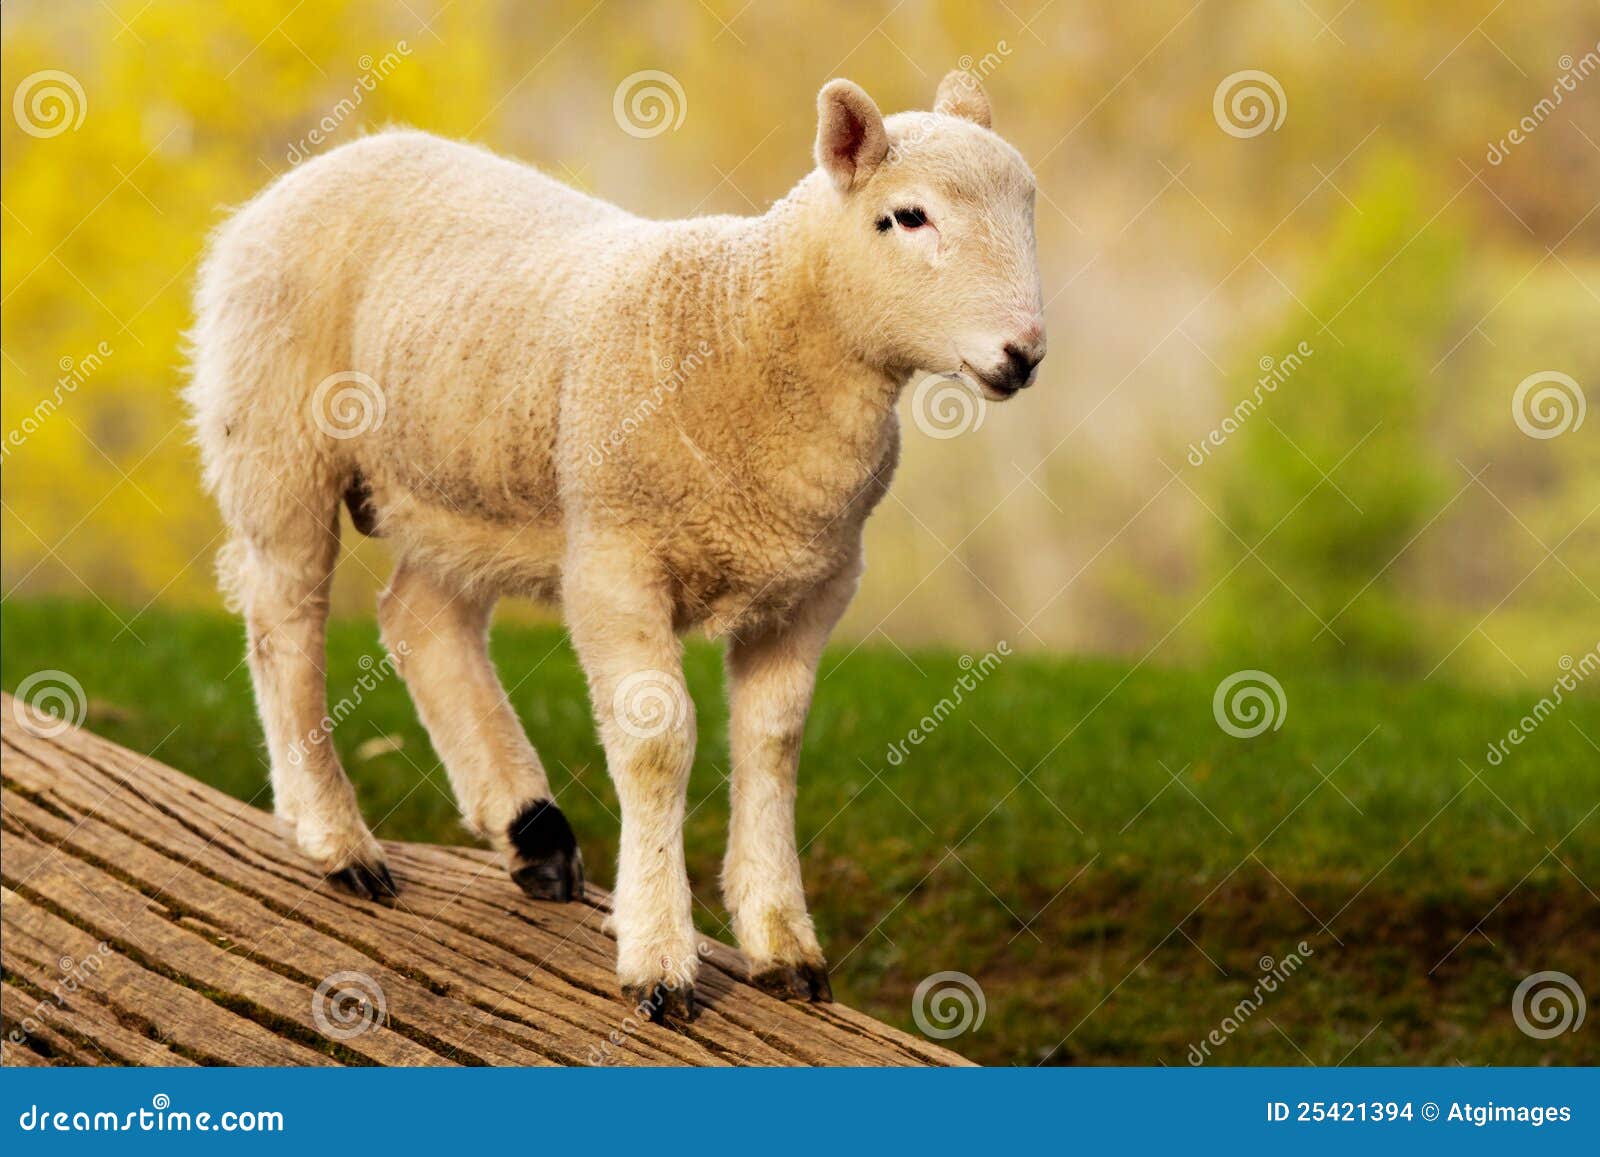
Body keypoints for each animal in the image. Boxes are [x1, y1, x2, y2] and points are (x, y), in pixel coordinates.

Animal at [185, 70, 1044, 1024]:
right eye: (907, 217)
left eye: (1028, 208)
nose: (1024, 353)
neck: (748, 324)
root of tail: (319, 167)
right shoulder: (615, 558)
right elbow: (657, 741)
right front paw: (660, 957)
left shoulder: (813, 585)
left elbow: (774, 742)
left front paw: (782, 945)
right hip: (276, 433)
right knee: (285, 618)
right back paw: (337, 839)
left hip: (460, 485)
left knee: (421, 617)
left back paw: (532, 834)